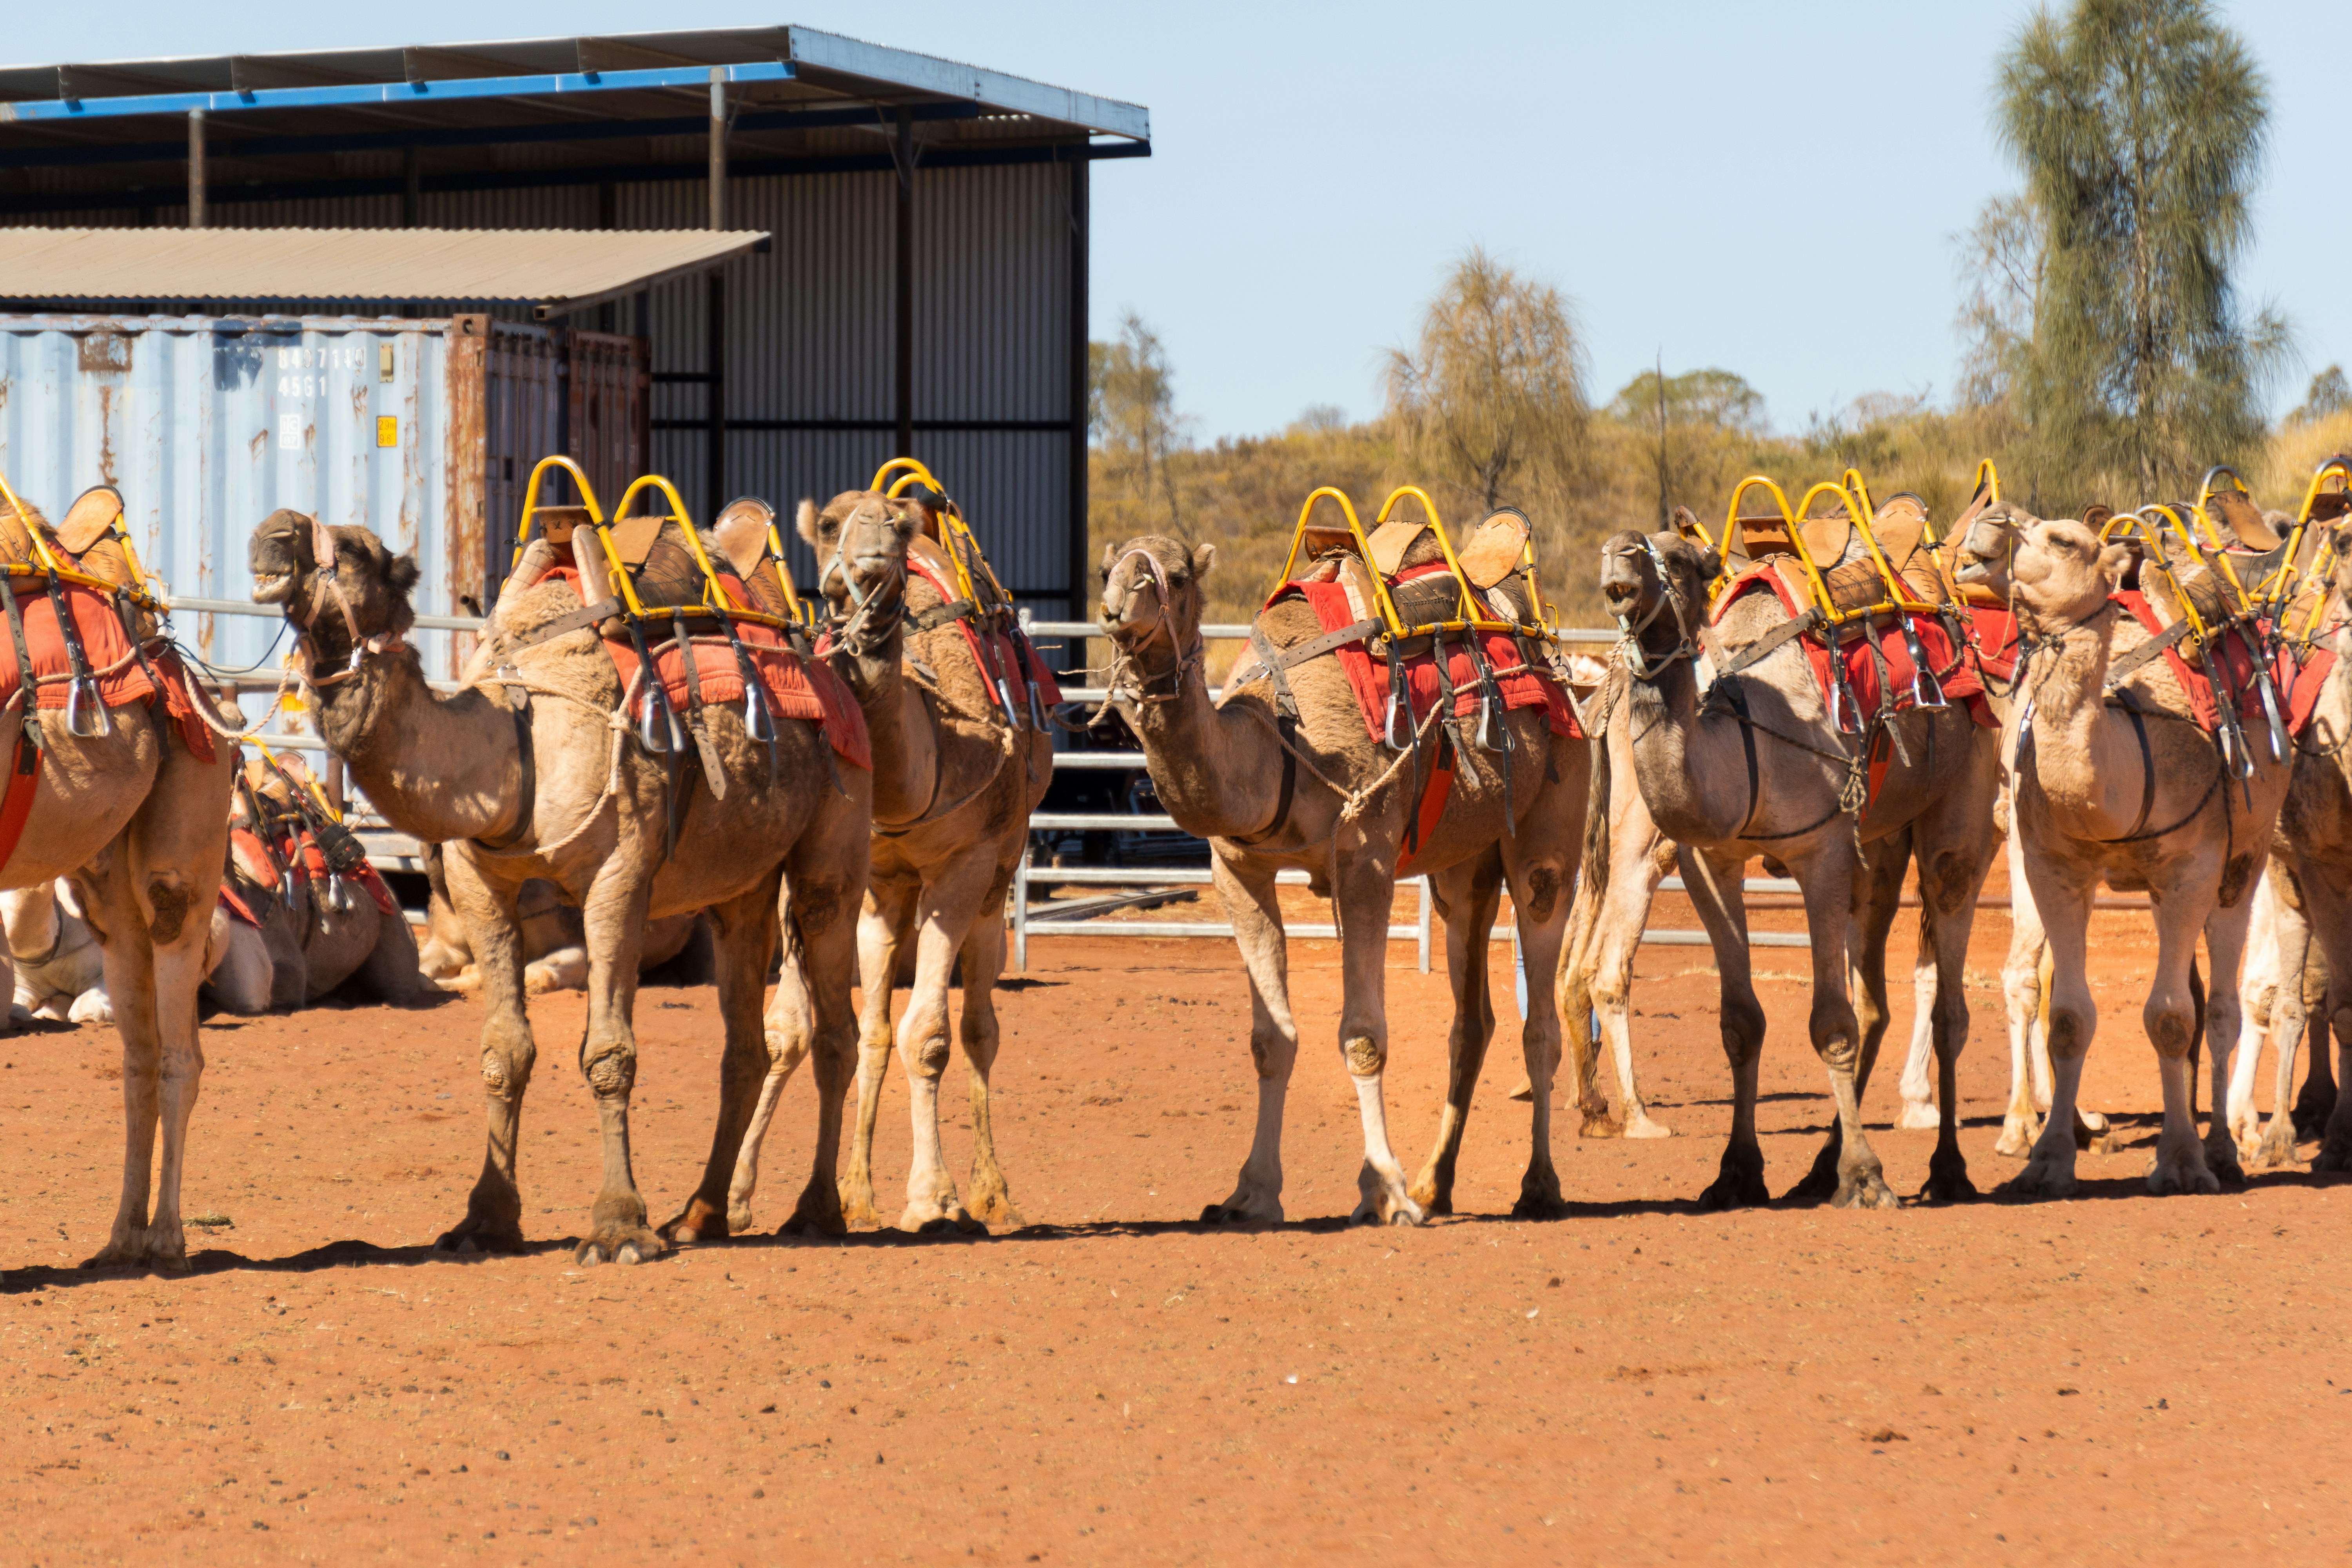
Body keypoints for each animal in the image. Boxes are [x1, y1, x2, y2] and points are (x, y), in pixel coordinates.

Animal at [247, 504, 871, 1262]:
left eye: (356, 552)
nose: (272, 536)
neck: (522, 741)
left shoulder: (618, 879)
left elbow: (608, 1054)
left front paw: (618, 1227)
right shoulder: (481, 883)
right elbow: (504, 1050)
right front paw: (484, 1221)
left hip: (834, 844)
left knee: (838, 1029)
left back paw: (817, 1211)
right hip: (738, 888)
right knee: (743, 1043)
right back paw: (700, 1215)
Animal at [716, 490, 1052, 1235]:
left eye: (897, 528)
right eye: (830, 525)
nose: (872, 544)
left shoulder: (962, 869)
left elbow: (928, 1035)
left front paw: (933, 1196)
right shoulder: (832, 876)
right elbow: (790, 1034)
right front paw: (739, 1195)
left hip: (997, 873)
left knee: (980, 1026)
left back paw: (991, 1193)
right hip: (886, 899)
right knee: (871, 1030)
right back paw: (856, 1192)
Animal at [1097, 520, 1588, 1226]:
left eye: (1179, 575)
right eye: (1107, 566)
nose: (1116, 607)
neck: (1281, 740)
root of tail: (1557, 660)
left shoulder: (1367, 858)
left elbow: (1363, 1036)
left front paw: (1384, 1191)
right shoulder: (1238, 870)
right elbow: (1271, 1039)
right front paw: (1251, 1194)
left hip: (1550, 825)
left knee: (1540, 1010)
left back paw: (1538, 1186)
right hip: (1463, 866)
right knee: (1471, 1021)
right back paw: (1437, 1184)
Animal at [1598, 525, 2001, 1209]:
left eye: (1674, 558)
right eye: (1619, 548)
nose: (1618, 556)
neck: (1746, 741)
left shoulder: (1822, 855)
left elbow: (1831, 1023)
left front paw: (1866, 1177)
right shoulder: (1711, 864)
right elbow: (1741, 1023)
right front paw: (1736, 1172)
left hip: (1963, 804)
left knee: (1948, 1000)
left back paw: (1946, 1169)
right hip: (1880, 847)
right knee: (1877, 1001)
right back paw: (1819, 1167)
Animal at [1953, 507, 2292, 1195]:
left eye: (2064, 540)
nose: (1988, 522)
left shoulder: (2191, 872)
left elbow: (2172, 1018)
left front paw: (2185, 1163)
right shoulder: (2055, 868)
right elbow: (2068, 1016)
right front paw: (2050, 1159)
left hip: (2242, 866)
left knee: (2221, 1005)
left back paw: (2222, 1149)